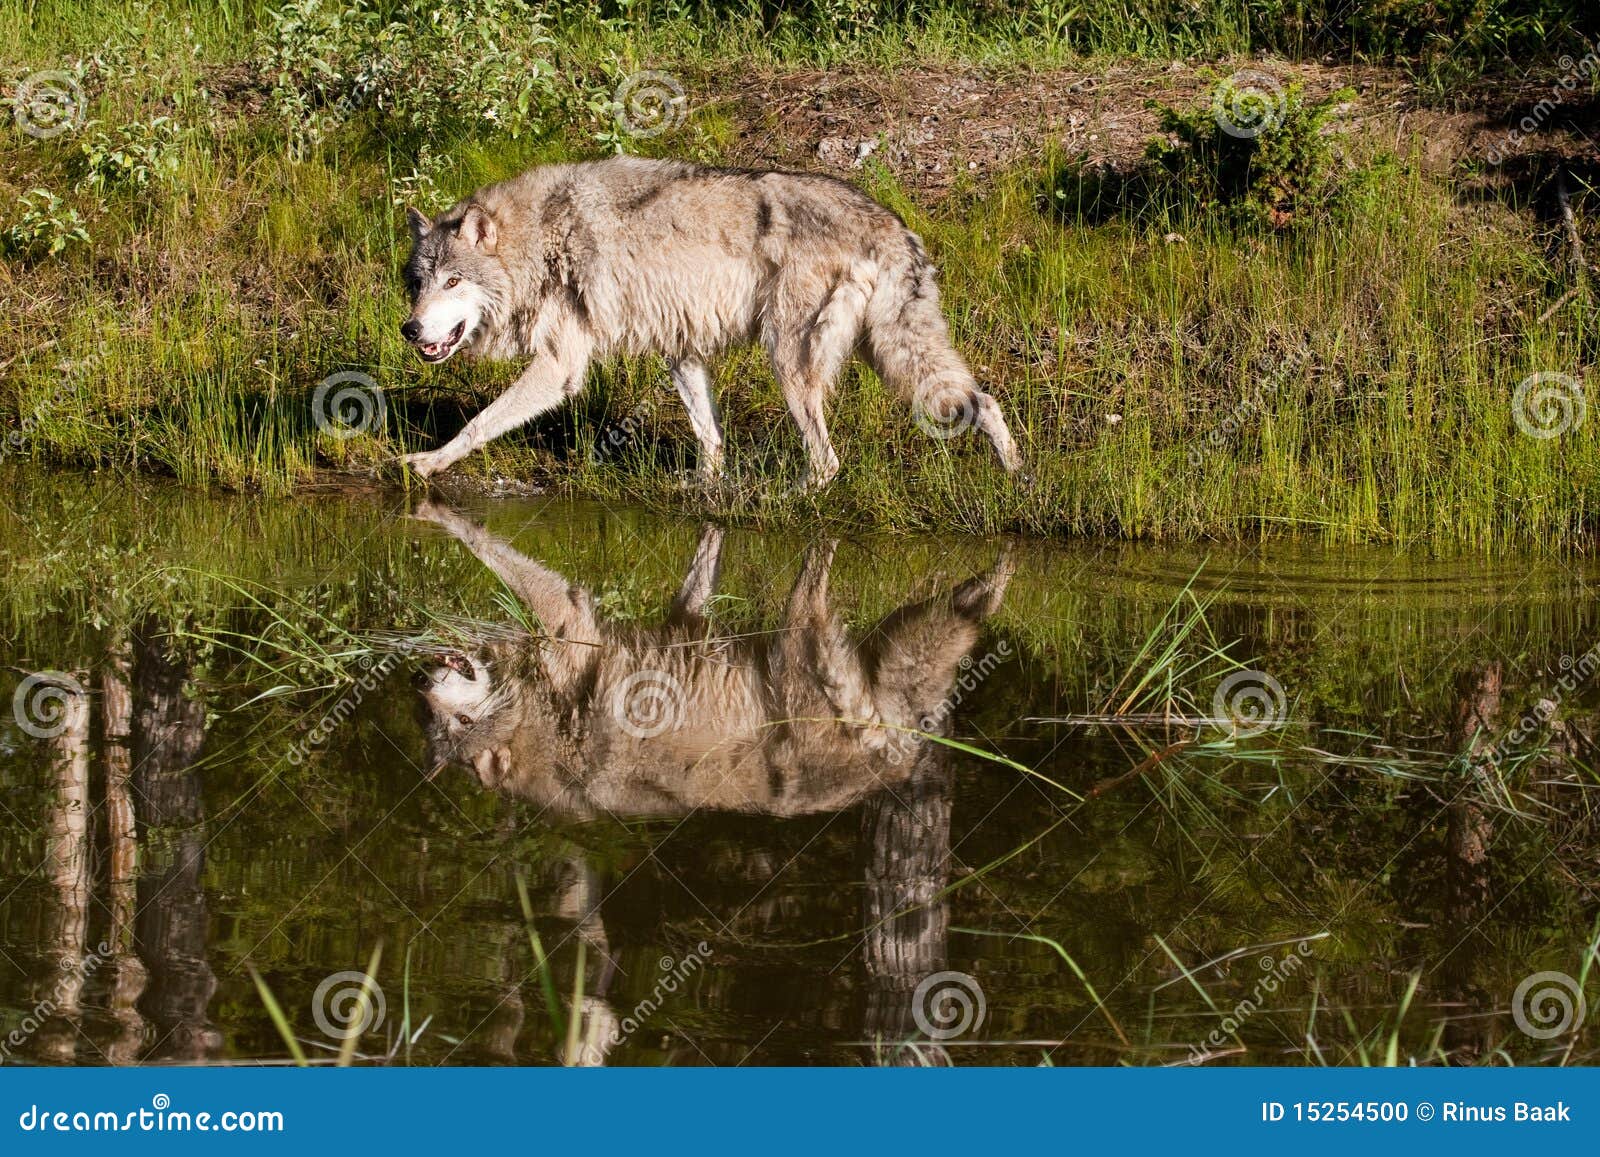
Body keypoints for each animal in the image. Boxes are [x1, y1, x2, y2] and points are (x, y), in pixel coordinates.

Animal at [399, 156, 1021, 486]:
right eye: (418, 284)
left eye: (452, 283)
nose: (410, 330)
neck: (542, 242)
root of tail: (892, 222)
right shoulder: (681, 348)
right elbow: (709, 434)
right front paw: (706, 486)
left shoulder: (559, 368)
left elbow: (479, 423)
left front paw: (428, 462)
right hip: (894, 354)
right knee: (983, 400)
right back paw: (1018, 476)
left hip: (790, 364)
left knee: (827, 463)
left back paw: (788, 497)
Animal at [411, 500, 1014, 819]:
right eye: (434, 721)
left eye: (458, 721)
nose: (423, 676)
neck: (532, 725)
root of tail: (892, 762)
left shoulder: (569, 624)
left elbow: (492, 552)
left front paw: (441, 509)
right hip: (882, 664)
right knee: (943, 631)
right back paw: (989, 587)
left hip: (800, 637)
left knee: (817, 556)